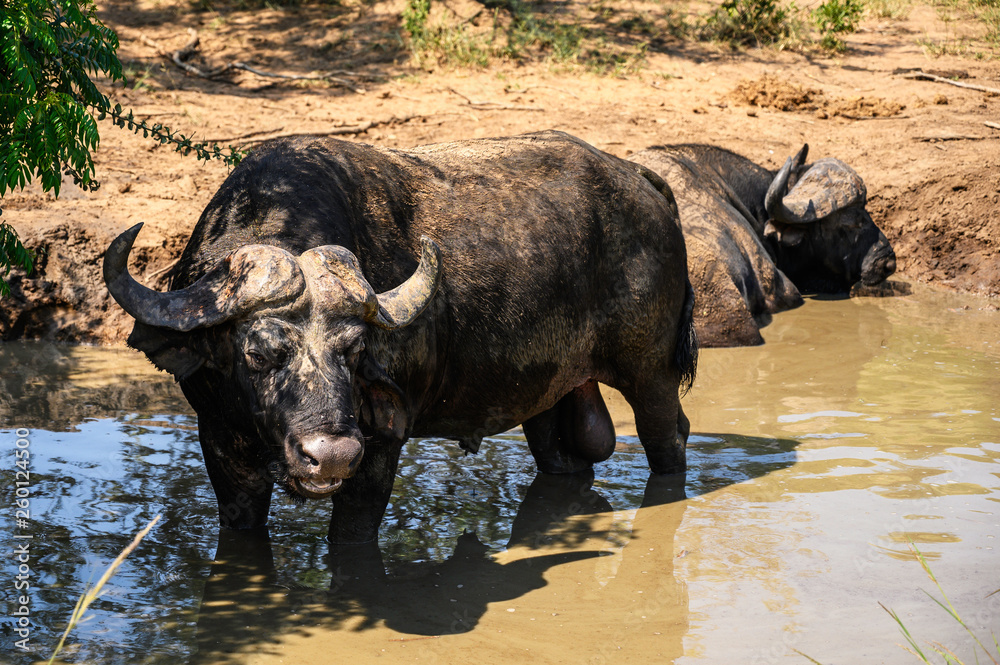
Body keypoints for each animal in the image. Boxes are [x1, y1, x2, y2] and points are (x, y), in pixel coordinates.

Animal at [103, 130, 698, 544]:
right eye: (258, 352)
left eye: (353, 351)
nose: (332, 455)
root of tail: (641, 179)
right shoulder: (220, 442)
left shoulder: (379, 449)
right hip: (551, 394)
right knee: (565, 456)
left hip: (652, 374)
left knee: (670, 438)